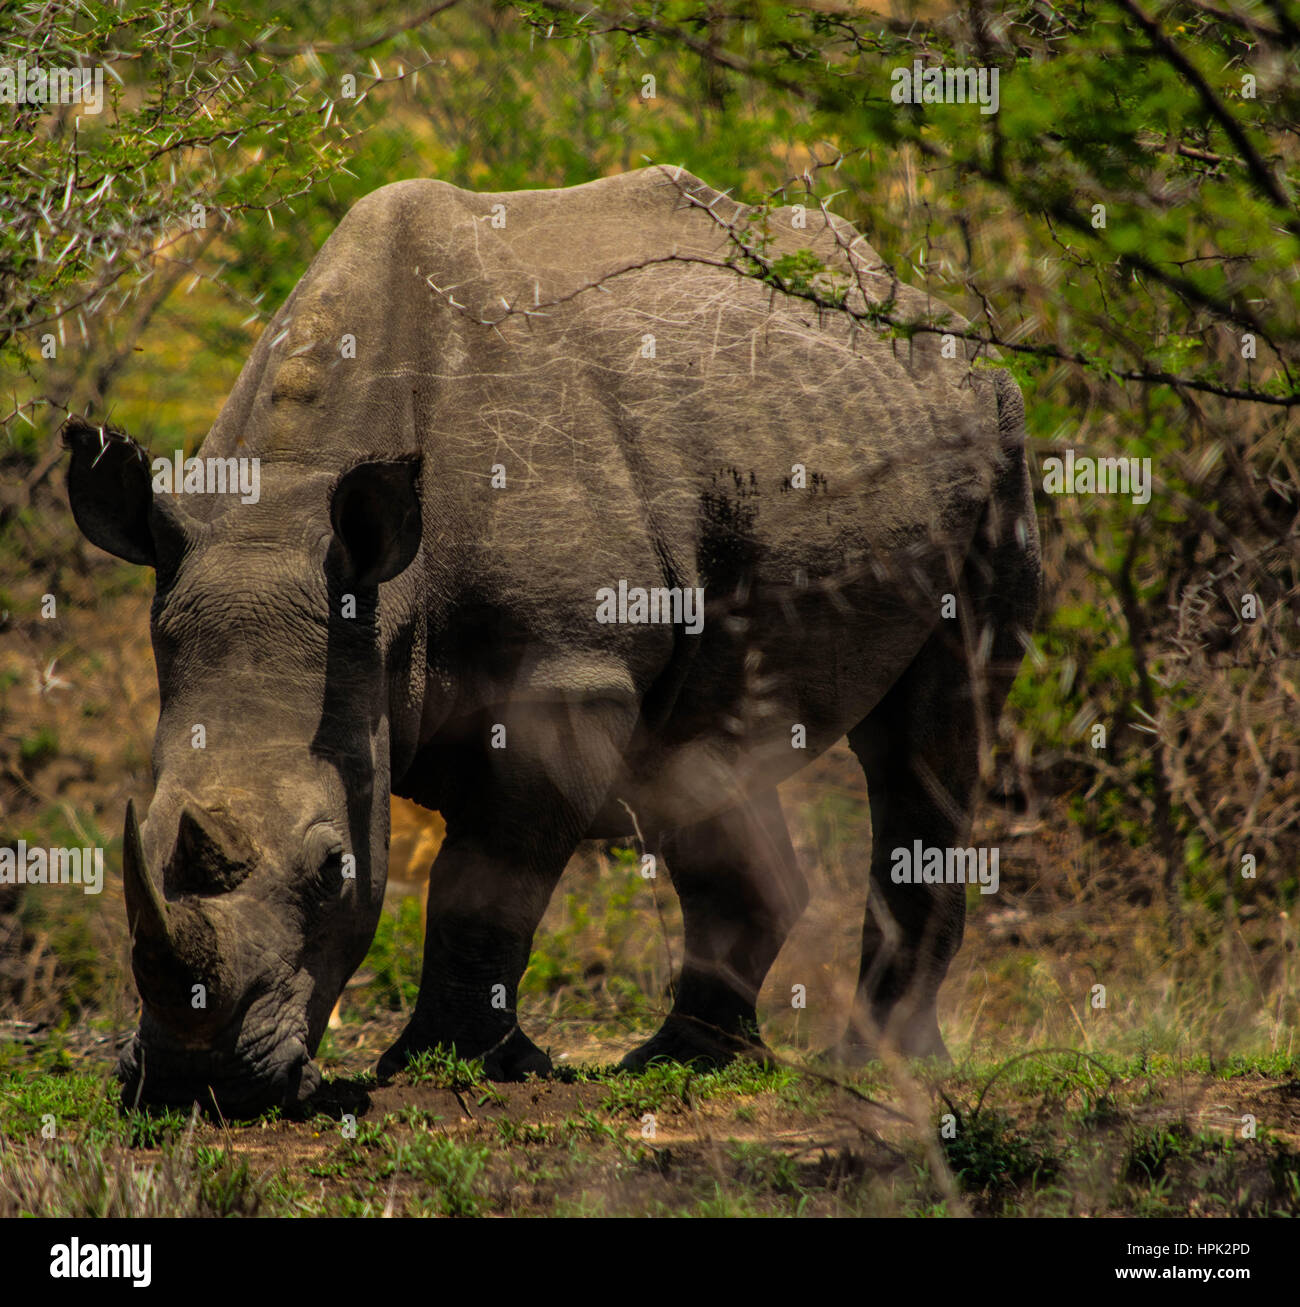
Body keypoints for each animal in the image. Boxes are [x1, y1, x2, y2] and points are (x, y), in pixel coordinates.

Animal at [64, 166, 1040, 1113]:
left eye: (333, 868)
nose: (198, 1082)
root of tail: (921, 308)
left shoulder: (571, 670)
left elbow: (485, 881)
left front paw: (444, 1063)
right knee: (706, 755)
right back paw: (685, 1058)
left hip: (996, 430)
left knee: (931, 727)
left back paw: (881, 1063)